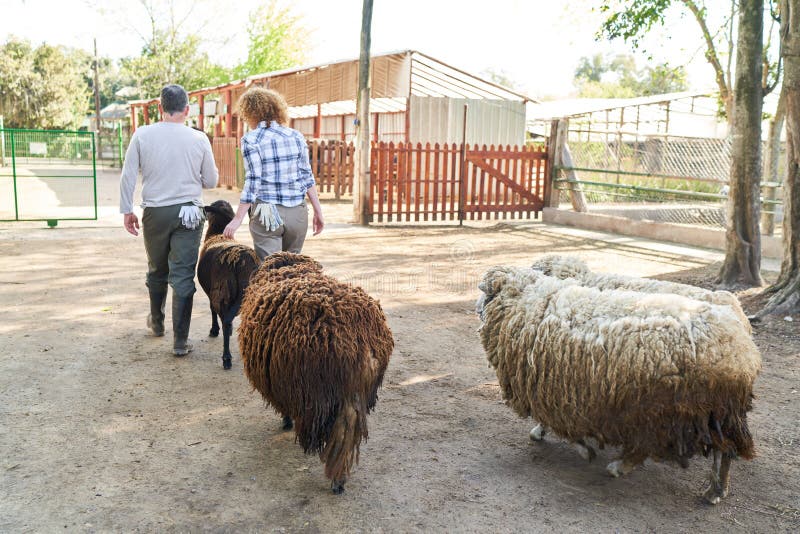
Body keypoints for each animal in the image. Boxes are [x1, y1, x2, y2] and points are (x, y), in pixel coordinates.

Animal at [197, 200, 260, 370]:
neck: (217, 233)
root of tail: (242, 260)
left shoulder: (212, 291)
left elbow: (212, 309)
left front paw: (214, 330)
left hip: (223, 292)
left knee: (225, 321)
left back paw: (227, 358)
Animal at [238, 252, 394, 494]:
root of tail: (361, 336)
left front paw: (286, 421)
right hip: (355, 390)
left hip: (326, 391)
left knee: (344, 430)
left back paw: (337, 480)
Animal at [476, 266, 761, 504]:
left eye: (484, 294)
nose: (476, 309)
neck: (529, 304)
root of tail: (742, 348)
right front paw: (550, 435)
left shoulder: (555, 392)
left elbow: (566, 429)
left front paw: (580, 448)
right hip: (715, 411)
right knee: (724, 450)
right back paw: (717, 489)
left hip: (661, 410)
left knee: (660, 446)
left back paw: (622, 467)